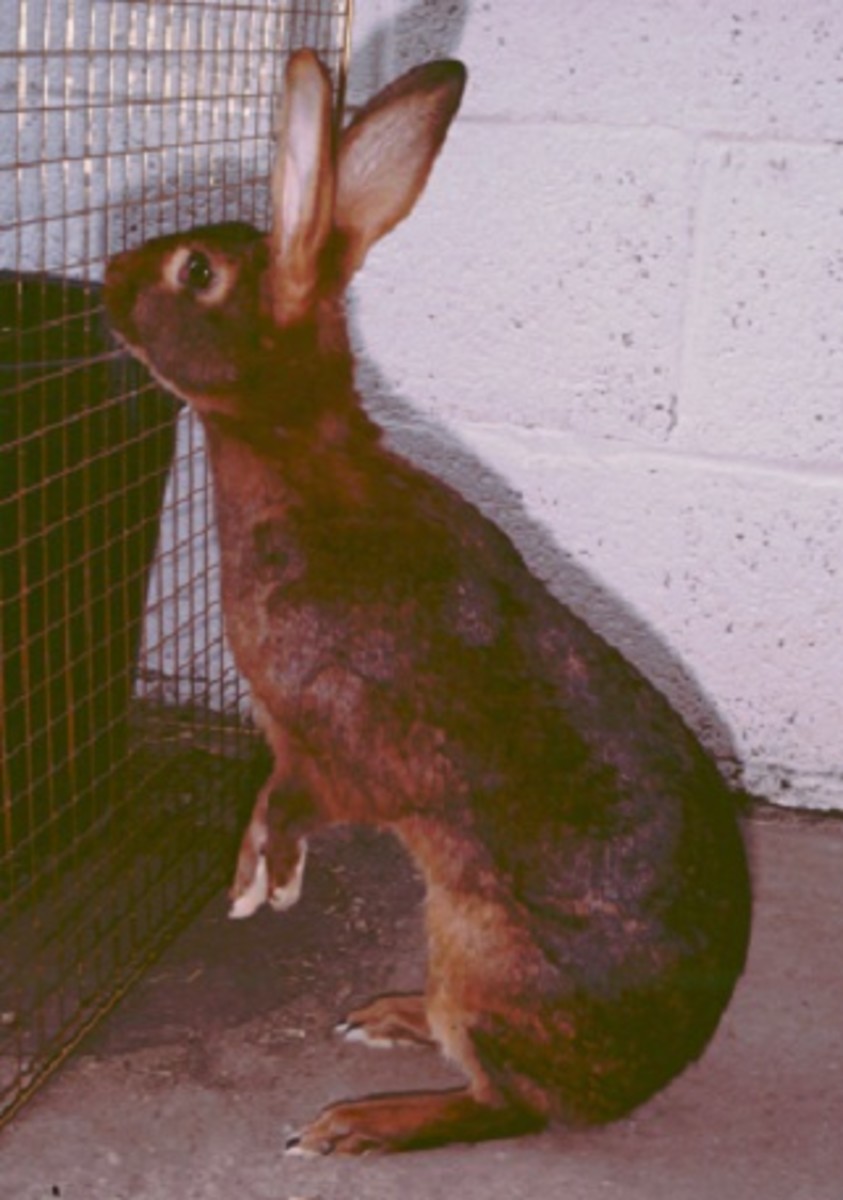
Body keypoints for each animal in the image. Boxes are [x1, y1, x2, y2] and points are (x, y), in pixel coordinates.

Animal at [104, 49, 751, 1156]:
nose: (105, 274)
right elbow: (270, 800)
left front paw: (260, 884)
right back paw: (386, 1018)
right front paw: (253, 878)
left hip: (483, 957)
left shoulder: (338, 744)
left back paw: (356, 1124)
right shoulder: (291, 746)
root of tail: (642, 1084)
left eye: (195, 273)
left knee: (503, 1106)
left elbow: (301, 803)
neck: (297, 454)